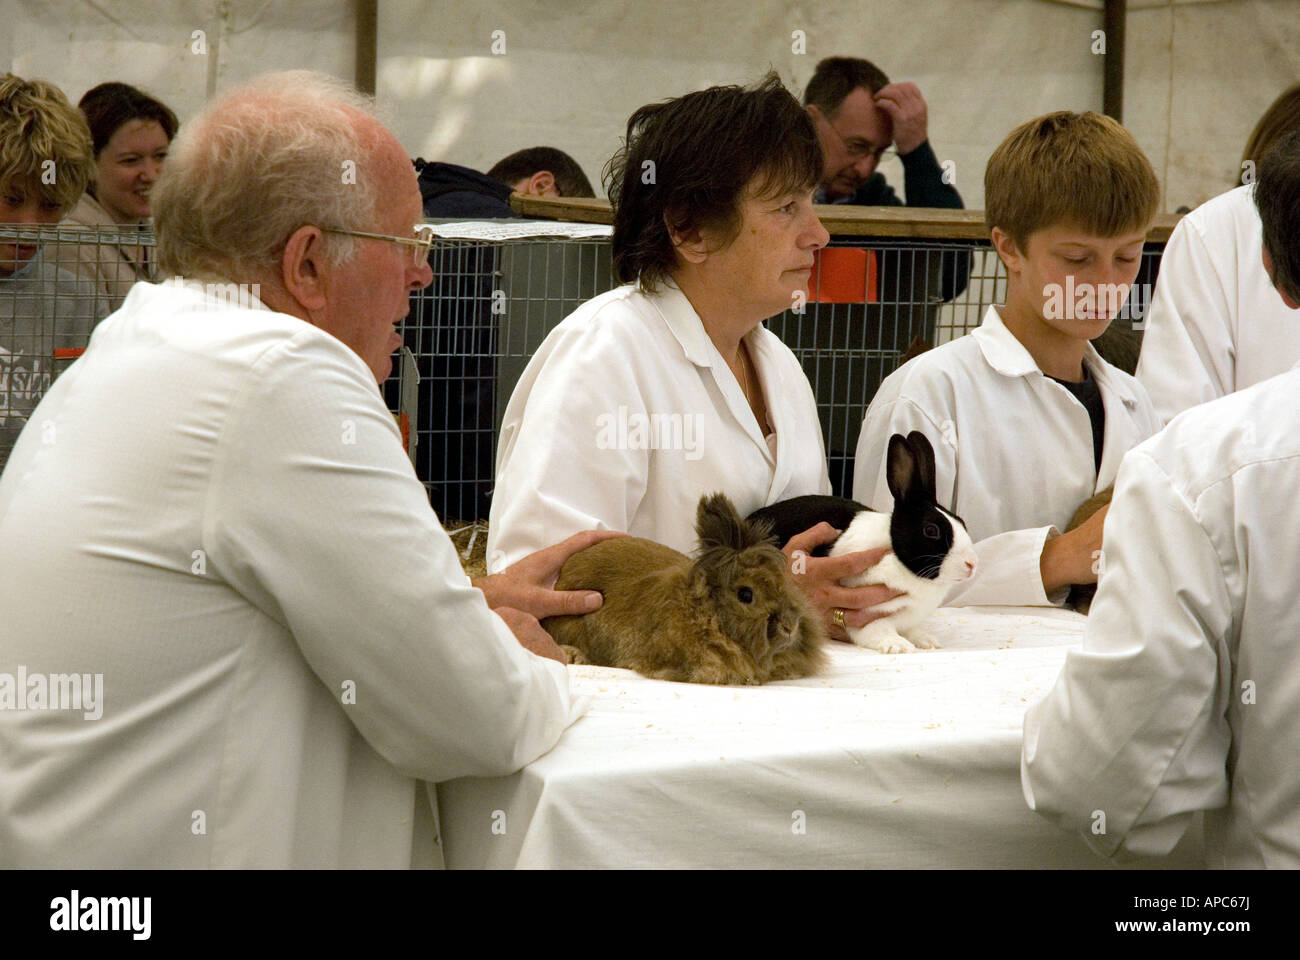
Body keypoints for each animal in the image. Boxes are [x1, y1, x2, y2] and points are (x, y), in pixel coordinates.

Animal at [747, 431, 978, 654]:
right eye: (931, 531)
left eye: (962, 522)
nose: (972, 564)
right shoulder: (869, 614)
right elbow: (878, 629)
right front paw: (897, 646)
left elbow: (913, 629)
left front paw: (928, 641)